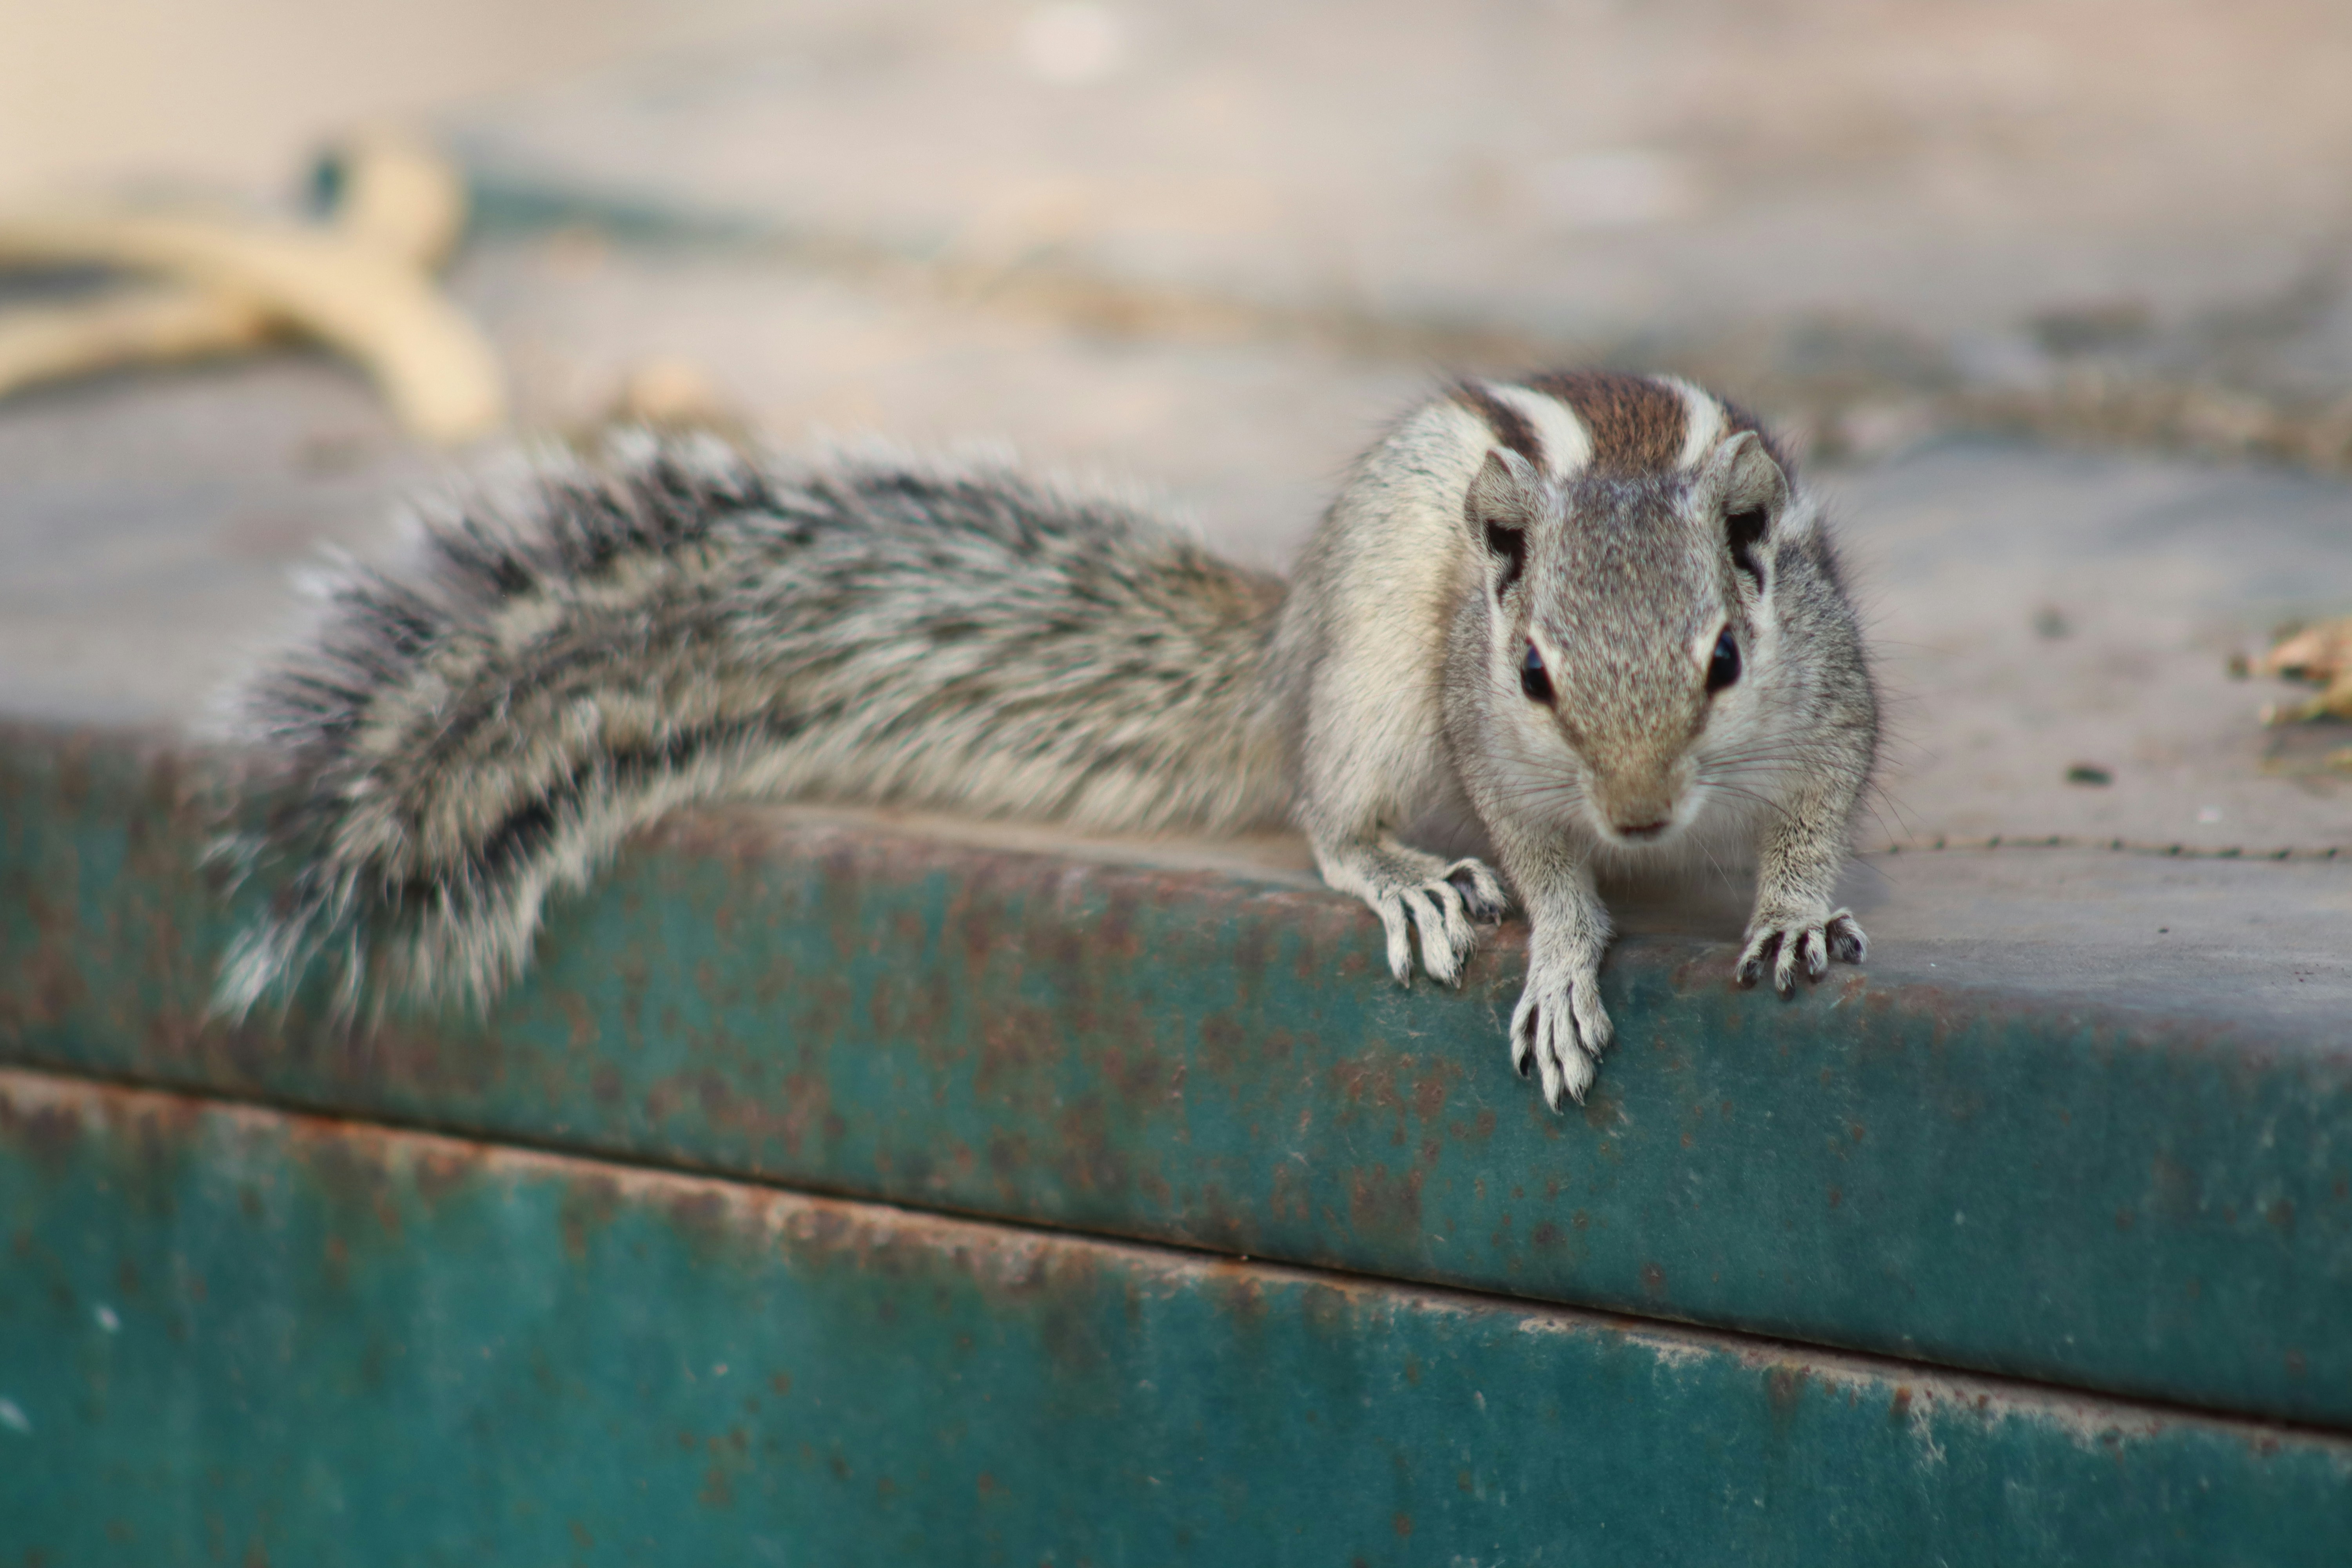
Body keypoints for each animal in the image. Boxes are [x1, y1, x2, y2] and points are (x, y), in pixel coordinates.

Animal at [216, 370, 1877, 1110]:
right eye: (1532, 672)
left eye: (1725, 657)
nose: (1642, 815)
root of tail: (1284, 644)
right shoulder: (1485, 734)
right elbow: (1538, 860)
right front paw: (1560, 962)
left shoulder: (1824, 692)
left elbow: (1819, 802)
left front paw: (1794, 913)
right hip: (1368, 656)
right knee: (1328, 793)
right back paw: (1396, 867)